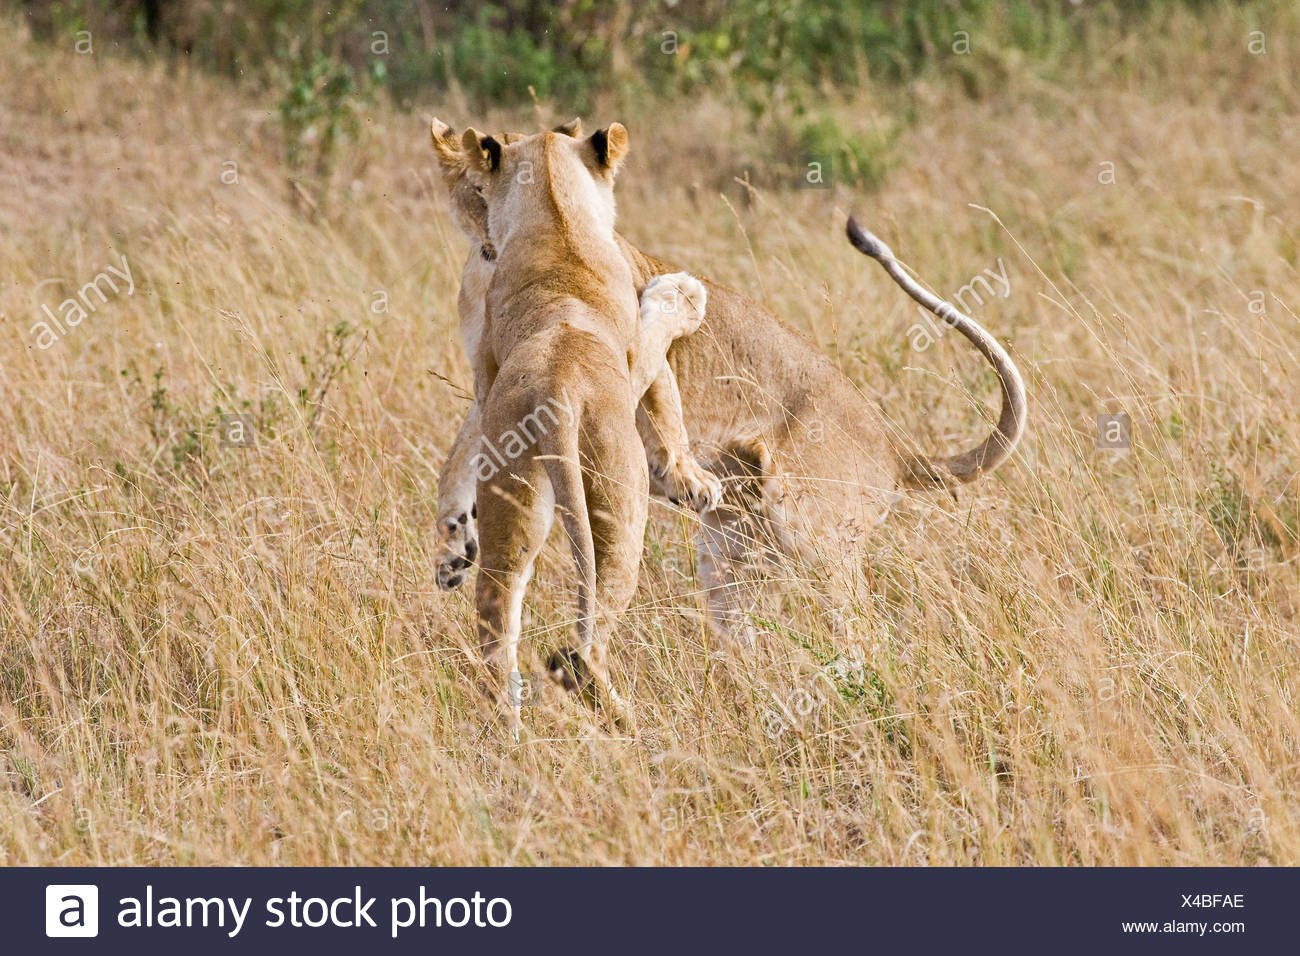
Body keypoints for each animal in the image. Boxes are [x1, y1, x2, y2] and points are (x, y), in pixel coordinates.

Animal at [429, 119, 1027, 649]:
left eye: (486, 188)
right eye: (470, 191)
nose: (489, 241)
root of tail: (892, 443)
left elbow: (660, 394)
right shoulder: (495, 382)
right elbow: (459, 454)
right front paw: (453, 544)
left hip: (815, 533)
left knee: (862, 627)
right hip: (733, 550)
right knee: (745, 634)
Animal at [452, 121, 713, 734]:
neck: (556, 220)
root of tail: (557, 394)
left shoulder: (485, 373)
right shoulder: (636, 356)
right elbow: (663, 388)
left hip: (513, 507)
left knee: (498, 629)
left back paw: (509, 735)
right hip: (621, 506)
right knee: (584, 646)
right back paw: (624, 718)